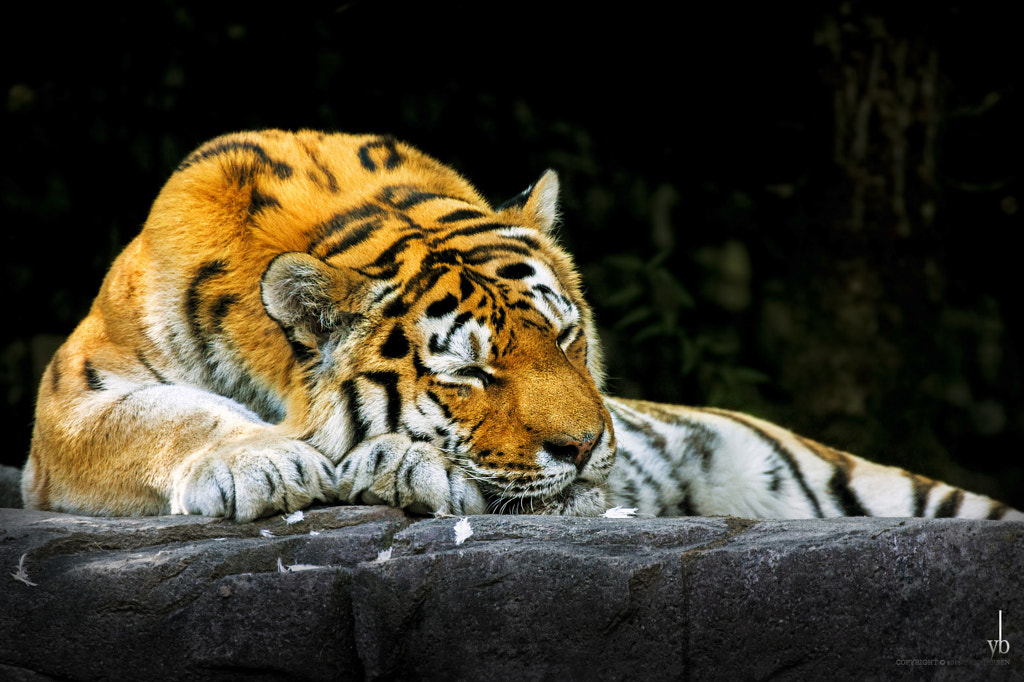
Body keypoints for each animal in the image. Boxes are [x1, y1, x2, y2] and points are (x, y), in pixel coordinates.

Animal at [23, 129, 1023, 523]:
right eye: (469, 373)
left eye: (568, 337)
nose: (587, 449)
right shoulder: (75, 395)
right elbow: (162, 418)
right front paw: (260, 461)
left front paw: (403, 464)